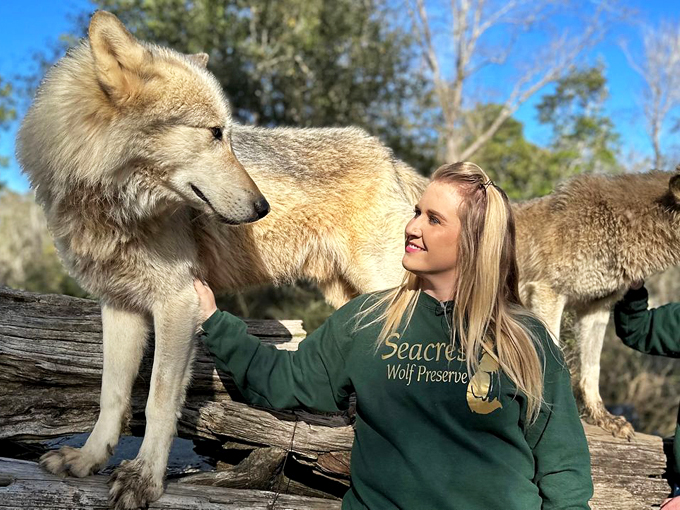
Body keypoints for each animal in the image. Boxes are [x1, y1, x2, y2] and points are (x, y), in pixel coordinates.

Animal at [17, 11, 427, 509]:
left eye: (229, 134)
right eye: (214, 133)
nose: (263, 207)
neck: (114, 209)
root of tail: (390, 158)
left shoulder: (178, 304)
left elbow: (157, 401)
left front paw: (144, 479)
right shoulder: (119, 306)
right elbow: (111, 396)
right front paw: (88, 460)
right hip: (353, 299)